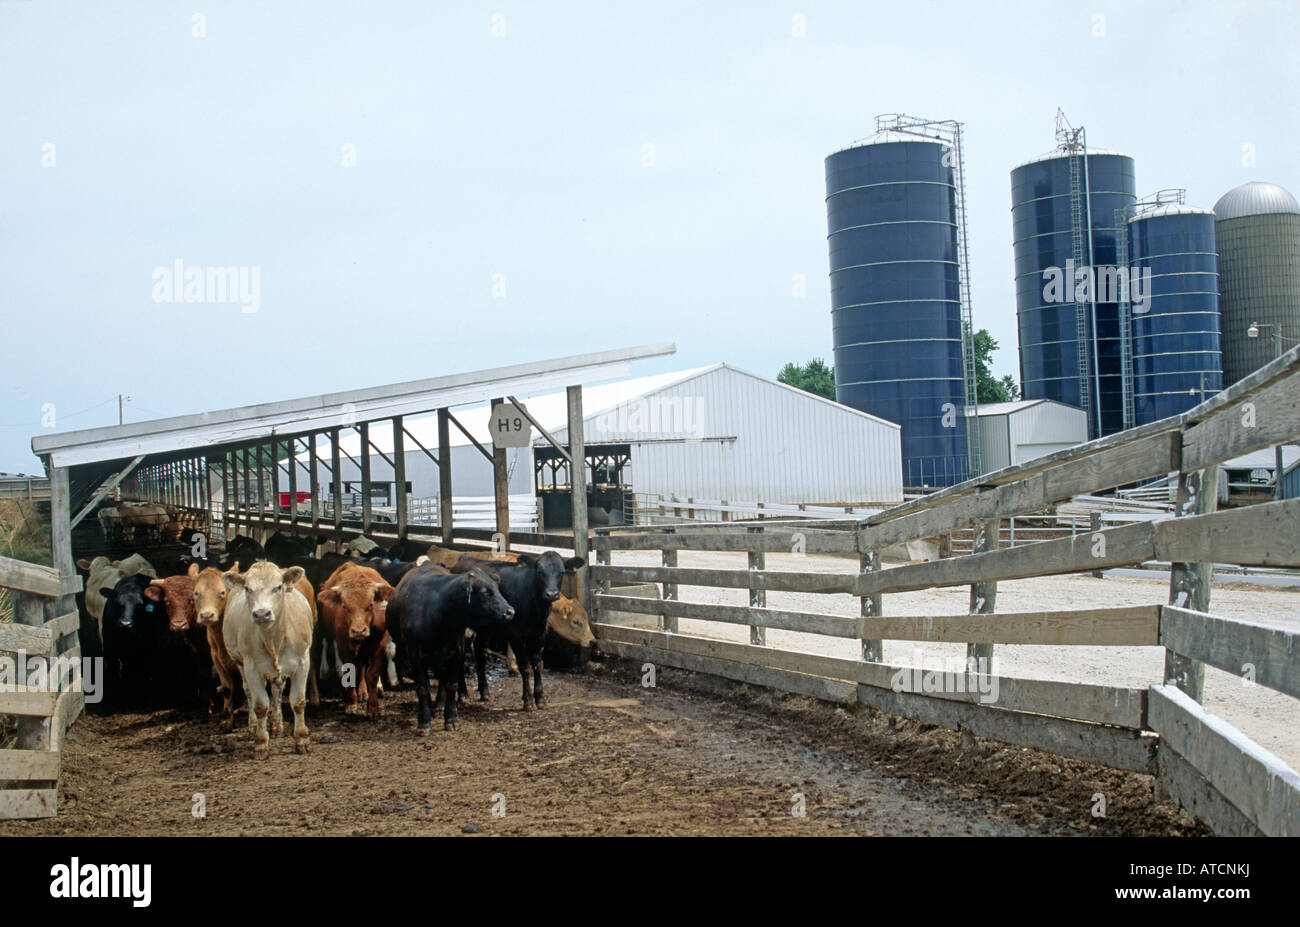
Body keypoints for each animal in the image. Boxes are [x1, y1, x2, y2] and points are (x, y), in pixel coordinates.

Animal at [222, 561, 315, 758]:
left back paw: (277, 724)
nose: (262, 614)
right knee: (249, 692)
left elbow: (298, 701)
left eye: (278, 587)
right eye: (247, 588)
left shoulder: (303, 661)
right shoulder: (251, 666)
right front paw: (261, 742)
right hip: (240, 662)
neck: (275, 640)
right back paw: (253, 726)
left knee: (277, 690)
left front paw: (302, 739)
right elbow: (260, 705)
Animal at [316, 562, 394, 717]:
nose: (358, 631)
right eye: (344, 606)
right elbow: (349, 671)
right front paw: (351, 704)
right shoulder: (343, 644)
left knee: (362, 666)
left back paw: (364, 692)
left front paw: (373, 707)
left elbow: (372, 673)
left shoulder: (379, 644)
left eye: (370, 604)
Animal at [387, 565, 513, 733]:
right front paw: (424, 722)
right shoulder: (415, 656)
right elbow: (423, 688)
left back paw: (440, 705)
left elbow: (451, 685)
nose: (510, 612)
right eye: (485, 592)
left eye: (497, 589)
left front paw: (451, 719)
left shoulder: (456, 653)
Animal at [451, 551, 585, 710]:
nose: (551, 594)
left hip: (486, 627)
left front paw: (540, 698)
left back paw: (484, 691)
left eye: (561, 572)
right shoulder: (514, 633)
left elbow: (537, 664)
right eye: (539, 572)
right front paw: (528, 701)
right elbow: (524, 665)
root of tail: (464, 558)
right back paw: (463, 694)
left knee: (479, 651)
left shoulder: (539, 633)